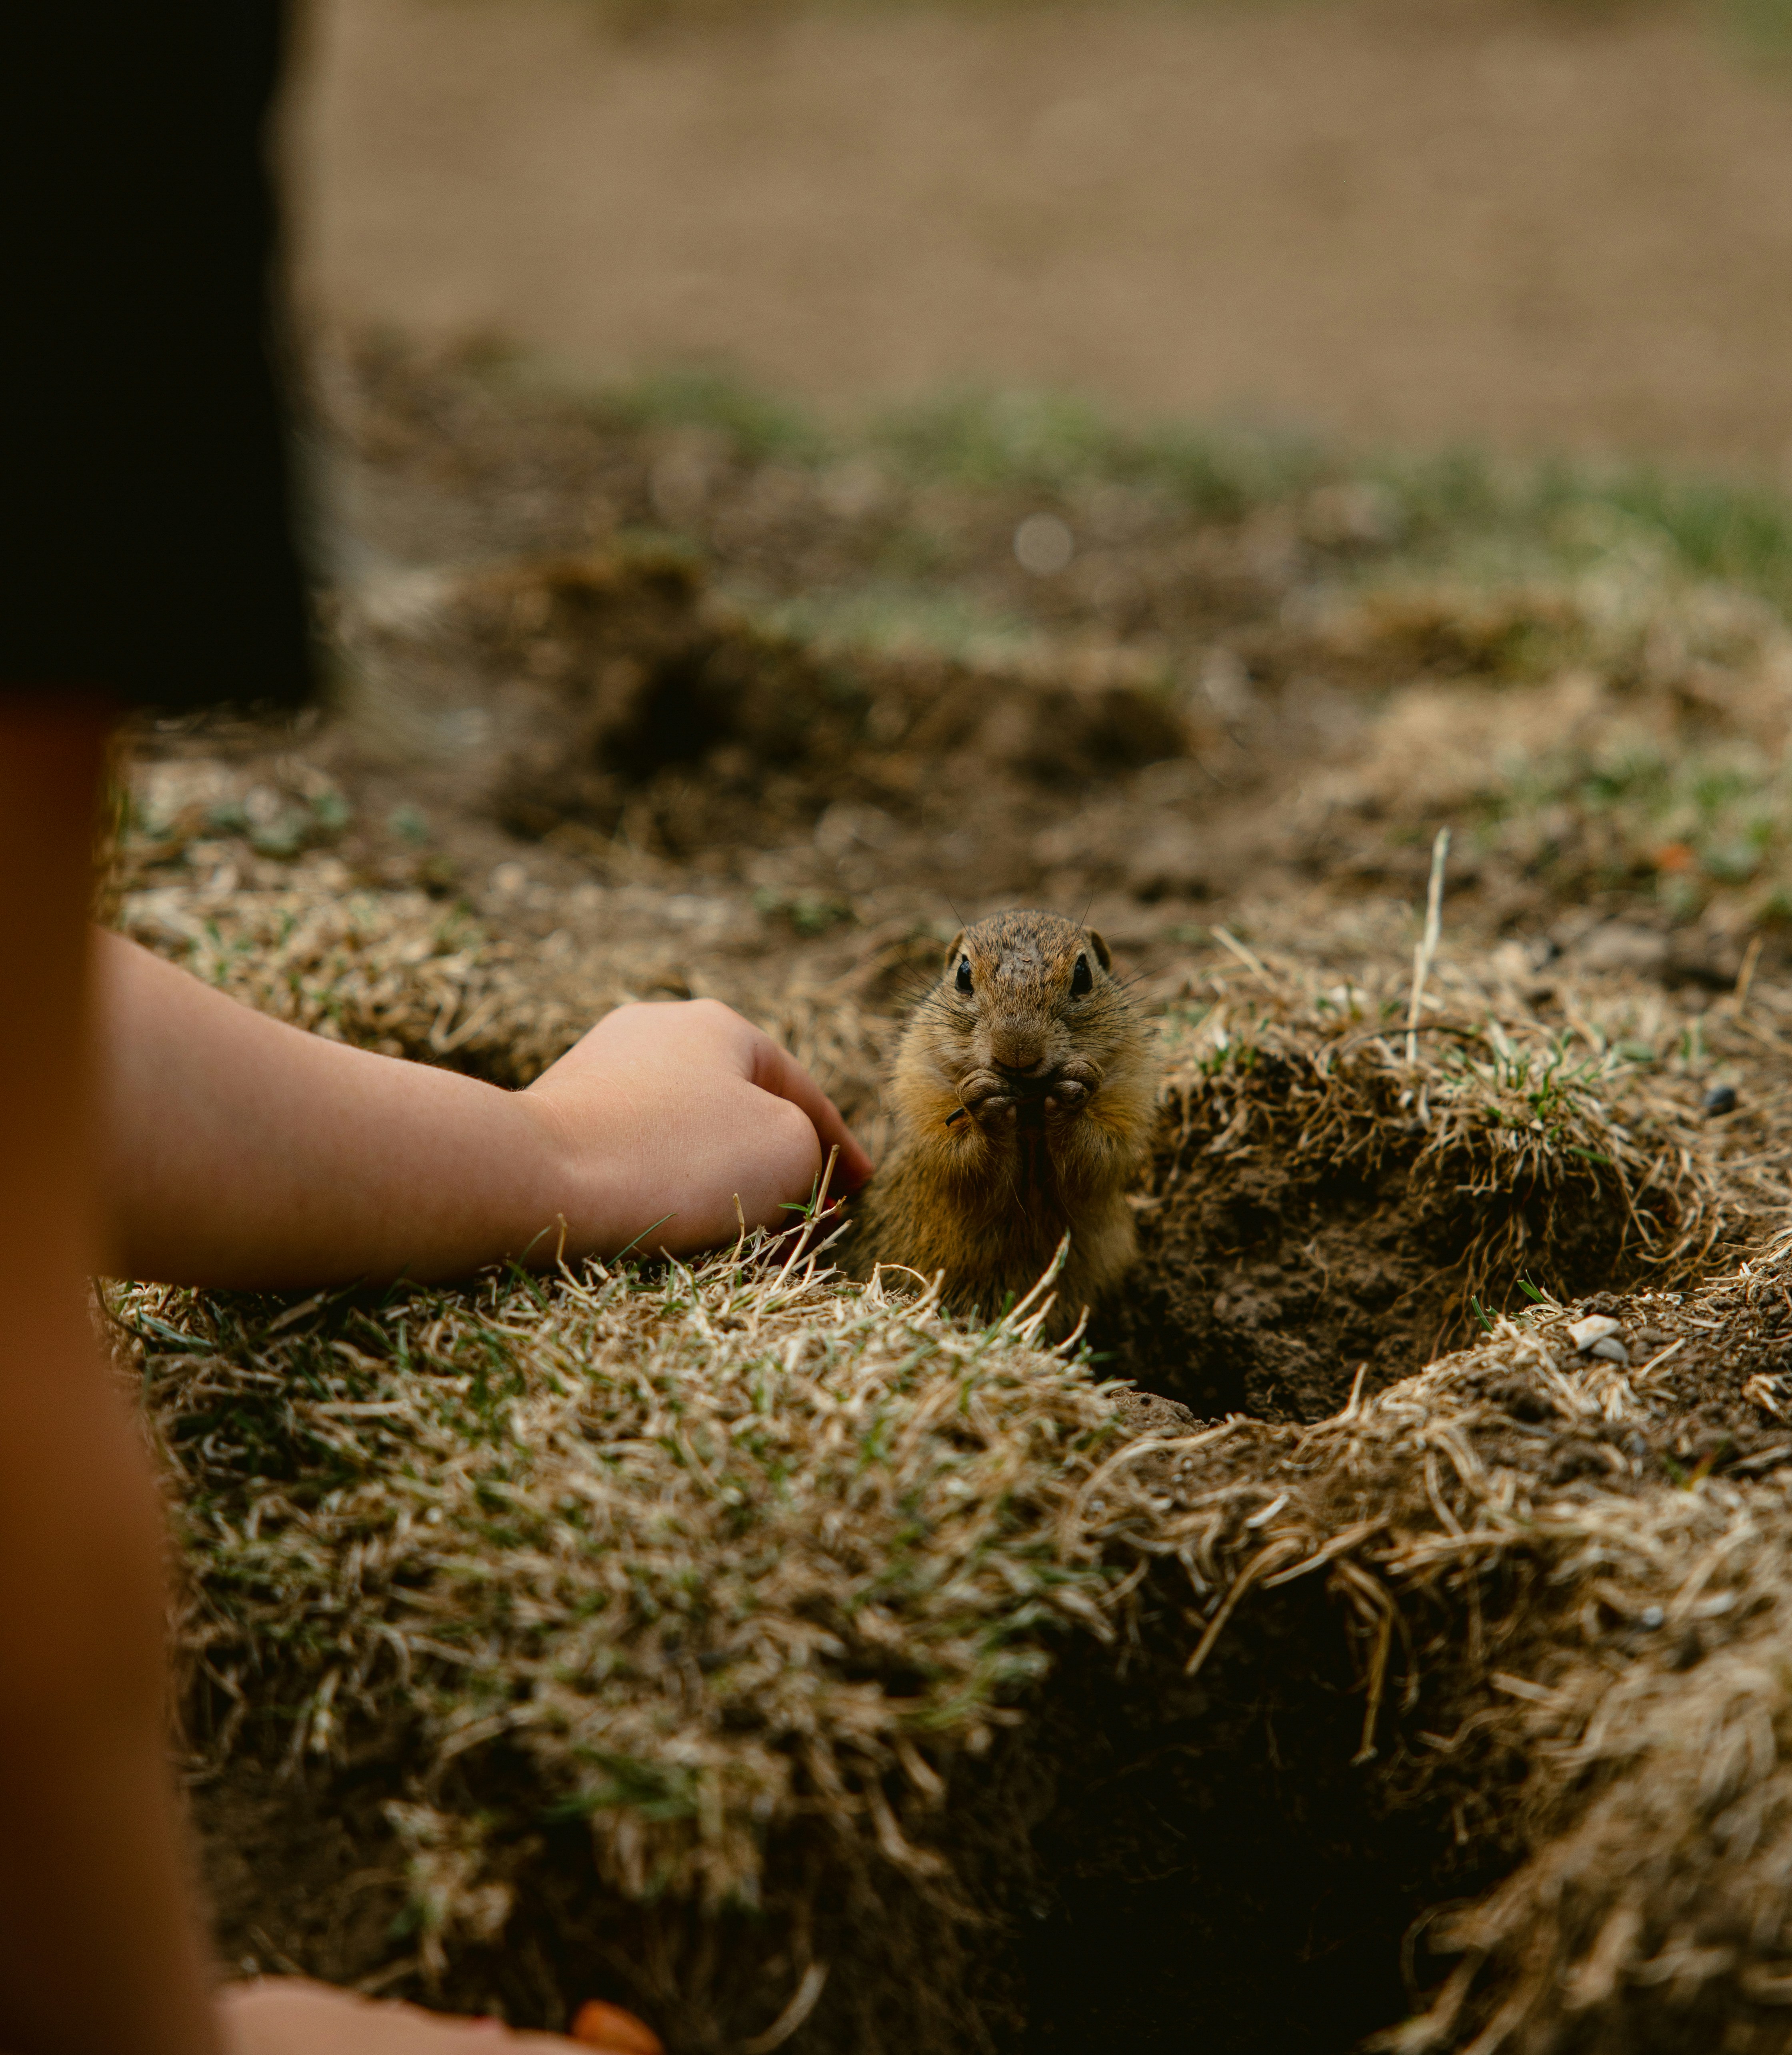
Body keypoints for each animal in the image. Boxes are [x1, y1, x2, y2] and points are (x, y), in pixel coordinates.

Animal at [846, 909, 1160, 1338]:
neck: (1027, 1114)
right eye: (963, 974)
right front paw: (984, 1099)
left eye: (1083, 975)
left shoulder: (1128, 1095)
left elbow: (1097, 1156)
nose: (1017, 1050)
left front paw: (1074, 1088)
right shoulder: (924, 1094)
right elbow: (960, 1158)